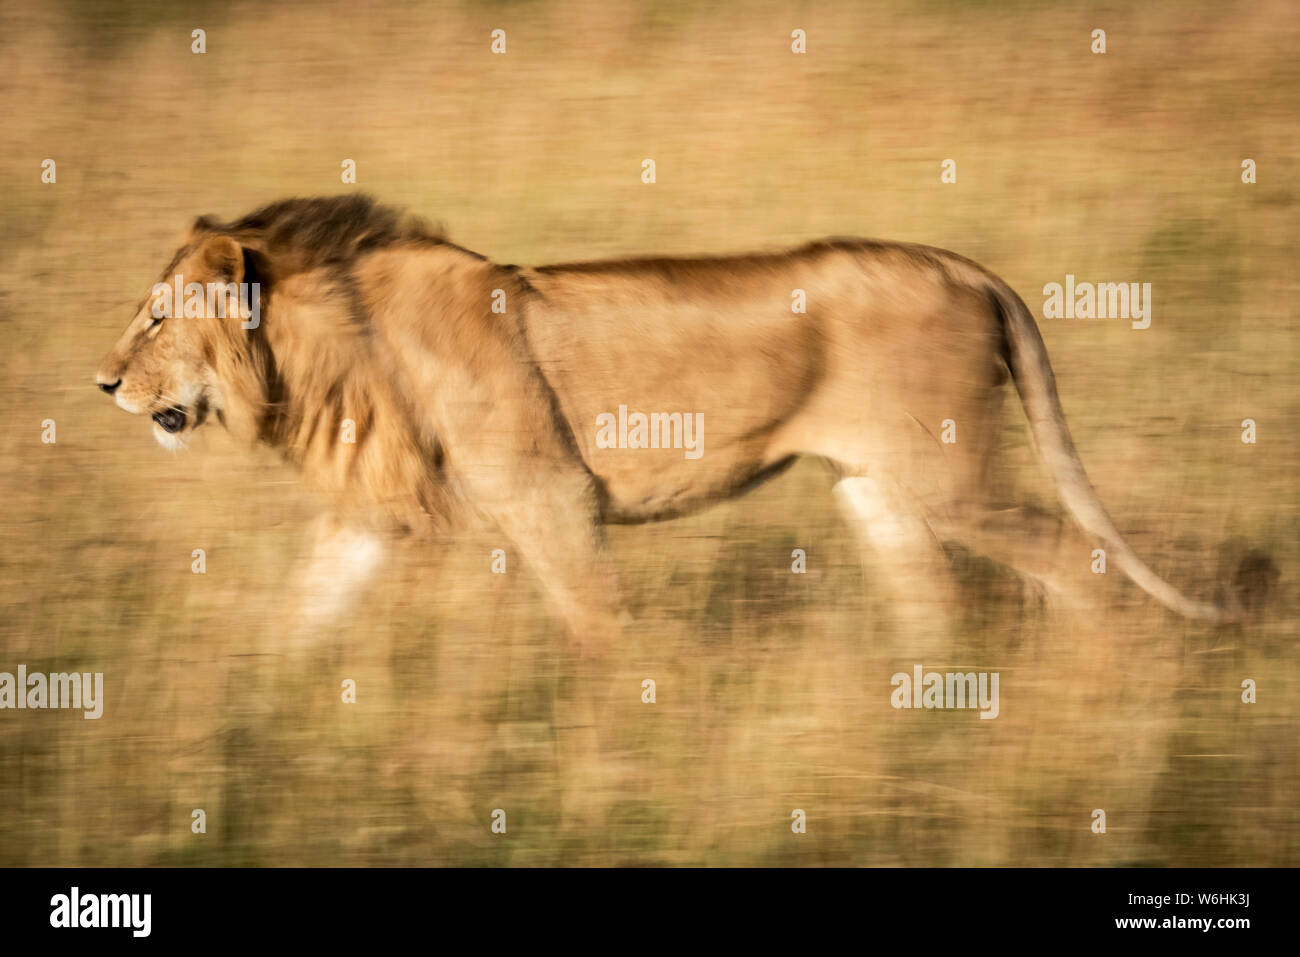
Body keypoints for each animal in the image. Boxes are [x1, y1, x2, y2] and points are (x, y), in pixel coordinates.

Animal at [96, 194, 1232, 652]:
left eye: (155, 315)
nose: (100, 383)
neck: (323, 353)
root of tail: (965, 265)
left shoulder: (549, 495)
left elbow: (598, 626)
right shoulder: (366, 517)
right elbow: (300, 619)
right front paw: (250, 712)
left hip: (952, 479)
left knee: (1077, 557)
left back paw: (1095, 689)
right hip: (878, 489)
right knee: (933, 605)